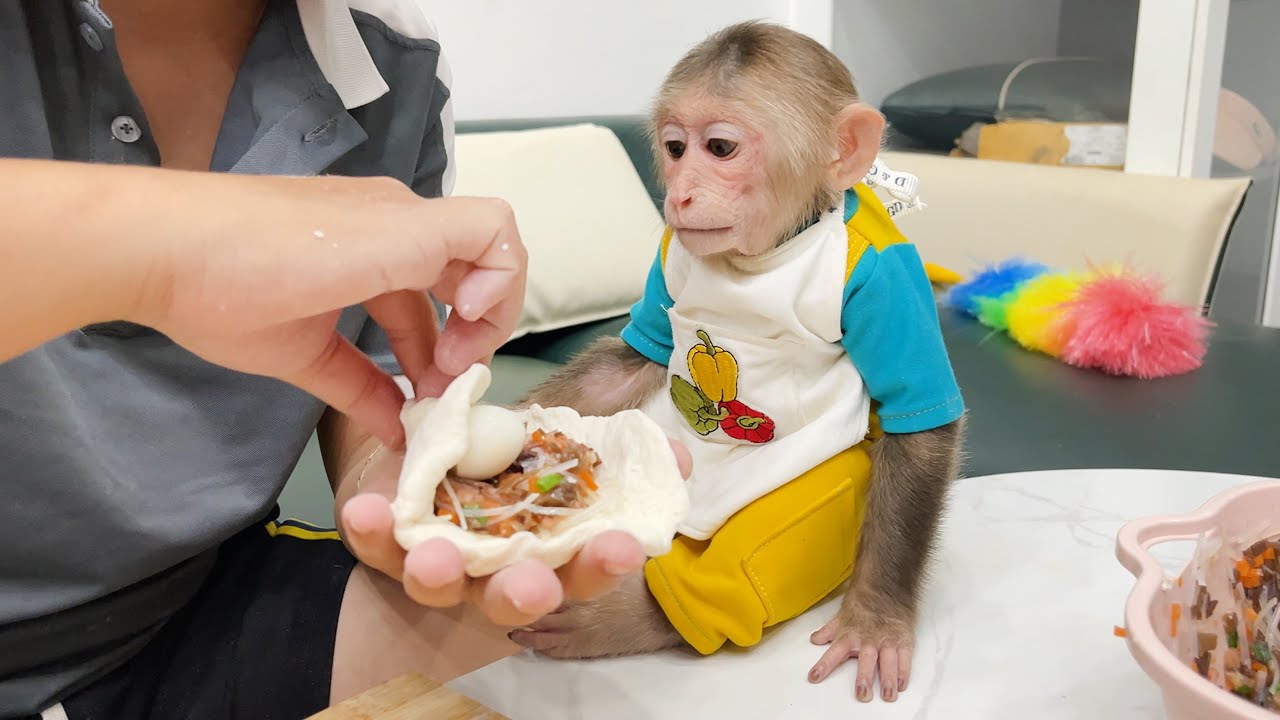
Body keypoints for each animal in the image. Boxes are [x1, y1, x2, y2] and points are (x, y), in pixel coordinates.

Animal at [508, 21, 966, 704]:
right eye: (675, 148)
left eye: (720, 148)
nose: (679, 192)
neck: (778, 243)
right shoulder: (666, 257)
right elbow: (632, 360)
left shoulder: (888, 278)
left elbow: (920, 427)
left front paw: (876, 620)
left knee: (775, 537)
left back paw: (635, 613)